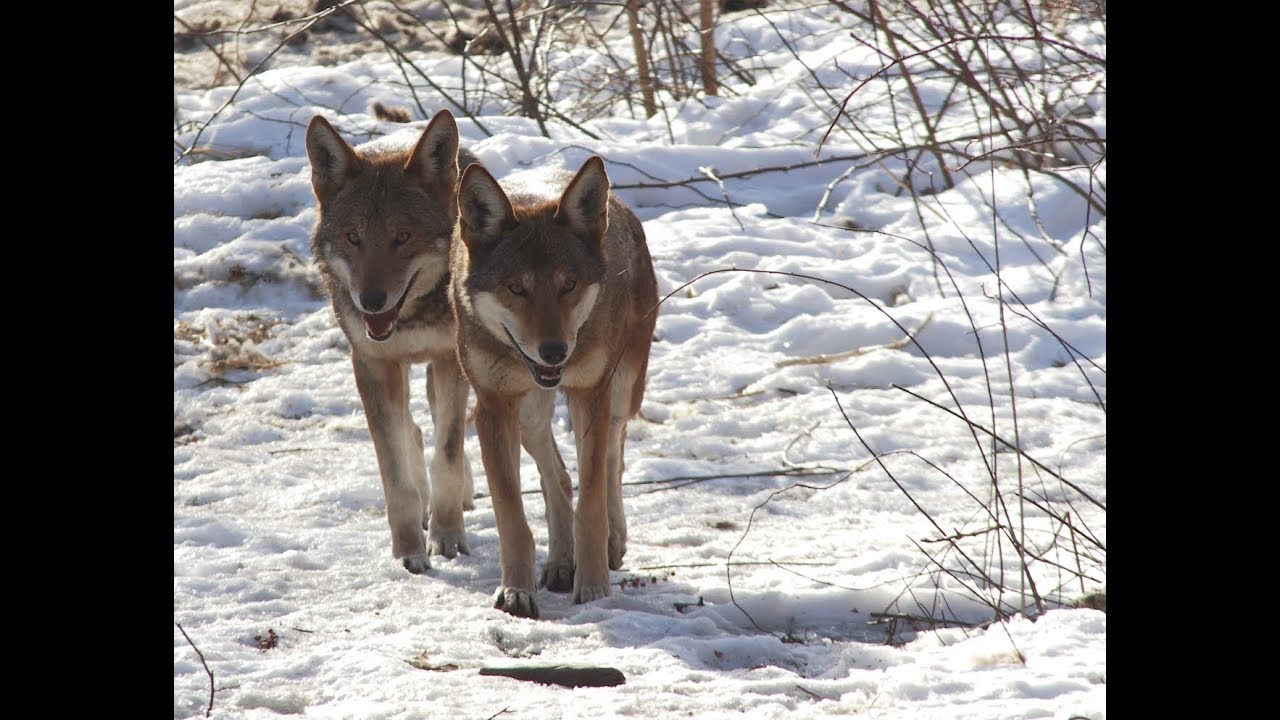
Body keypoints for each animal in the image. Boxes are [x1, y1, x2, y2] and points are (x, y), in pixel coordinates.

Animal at [305, 109, 476, 574]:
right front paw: (408, 551)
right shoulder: (373, 365)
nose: (371, 301)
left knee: (441, 430)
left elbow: (448, 455)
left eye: (402, 237)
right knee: (411, 430)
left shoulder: (450, 360)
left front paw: (447, 536)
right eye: (353, 237)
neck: (409, 320)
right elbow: (395, 473)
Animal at [450, 156, 658, 618]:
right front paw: (516, 591)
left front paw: (595, 588)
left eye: (569, 285)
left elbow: (592, 503)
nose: (553, 351)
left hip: (621, 395)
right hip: (528, 417)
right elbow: (512, 516)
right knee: (558, 477)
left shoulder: (591, 396)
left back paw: (611, 544)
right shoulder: (492, 408)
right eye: (515, 288)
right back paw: (561, 563)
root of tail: (621, 206)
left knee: (612, 462)